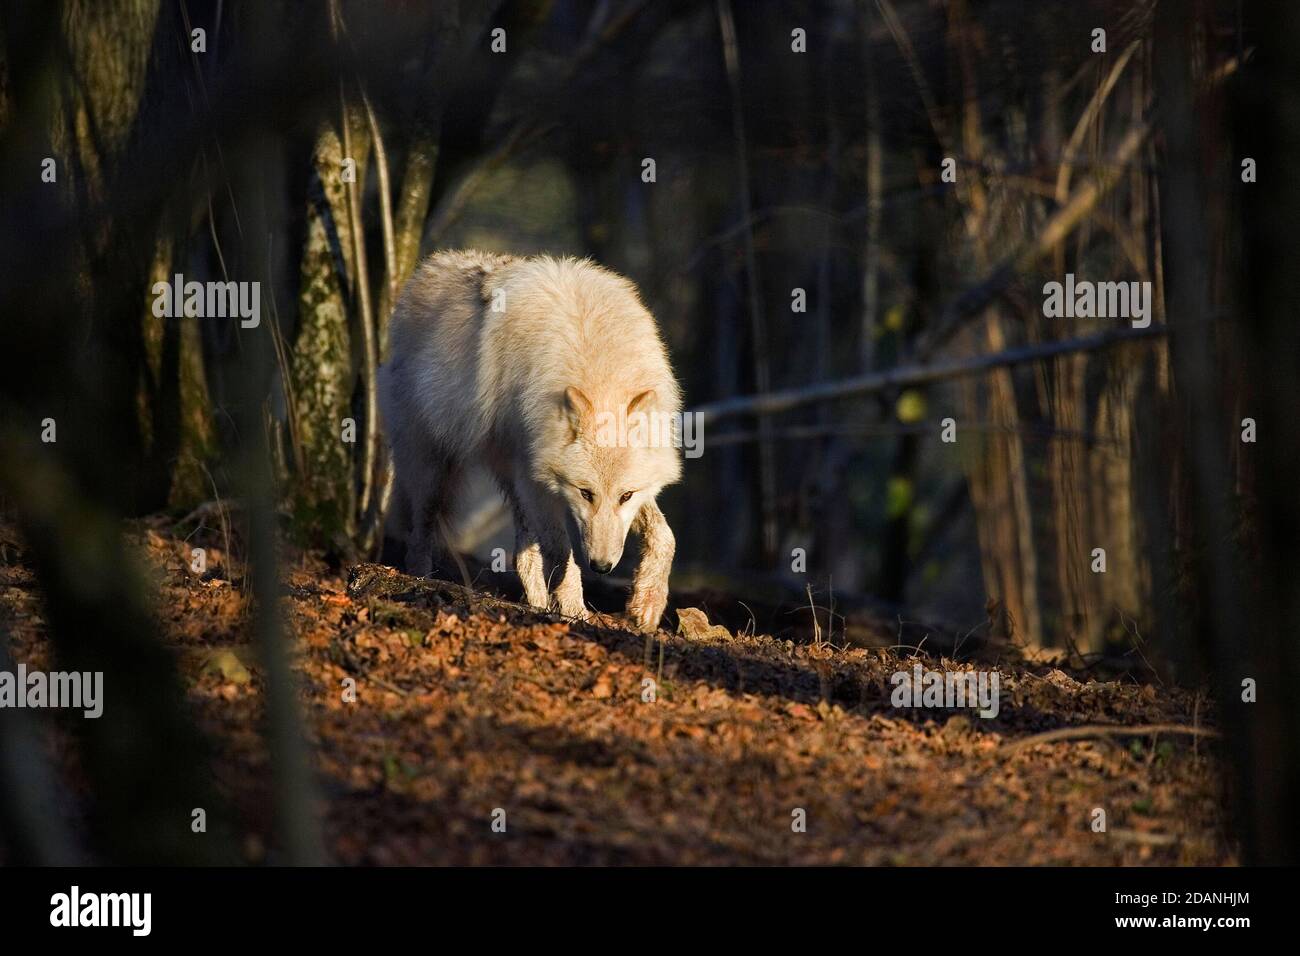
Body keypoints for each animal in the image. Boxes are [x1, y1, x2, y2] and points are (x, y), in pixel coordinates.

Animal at [379, 250, 683, 632]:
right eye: (585, 493)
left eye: (625, 496)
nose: (601, 566)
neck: (596, 366)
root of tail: (429, 267)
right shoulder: (536, 476)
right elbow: (561, 551)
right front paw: (574, 611)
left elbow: (665, 534)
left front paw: (648, 603)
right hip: (433, 470)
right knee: (419, 533)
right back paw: (421, 579)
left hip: (508, 477)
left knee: (523, 553)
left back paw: (537, 603)